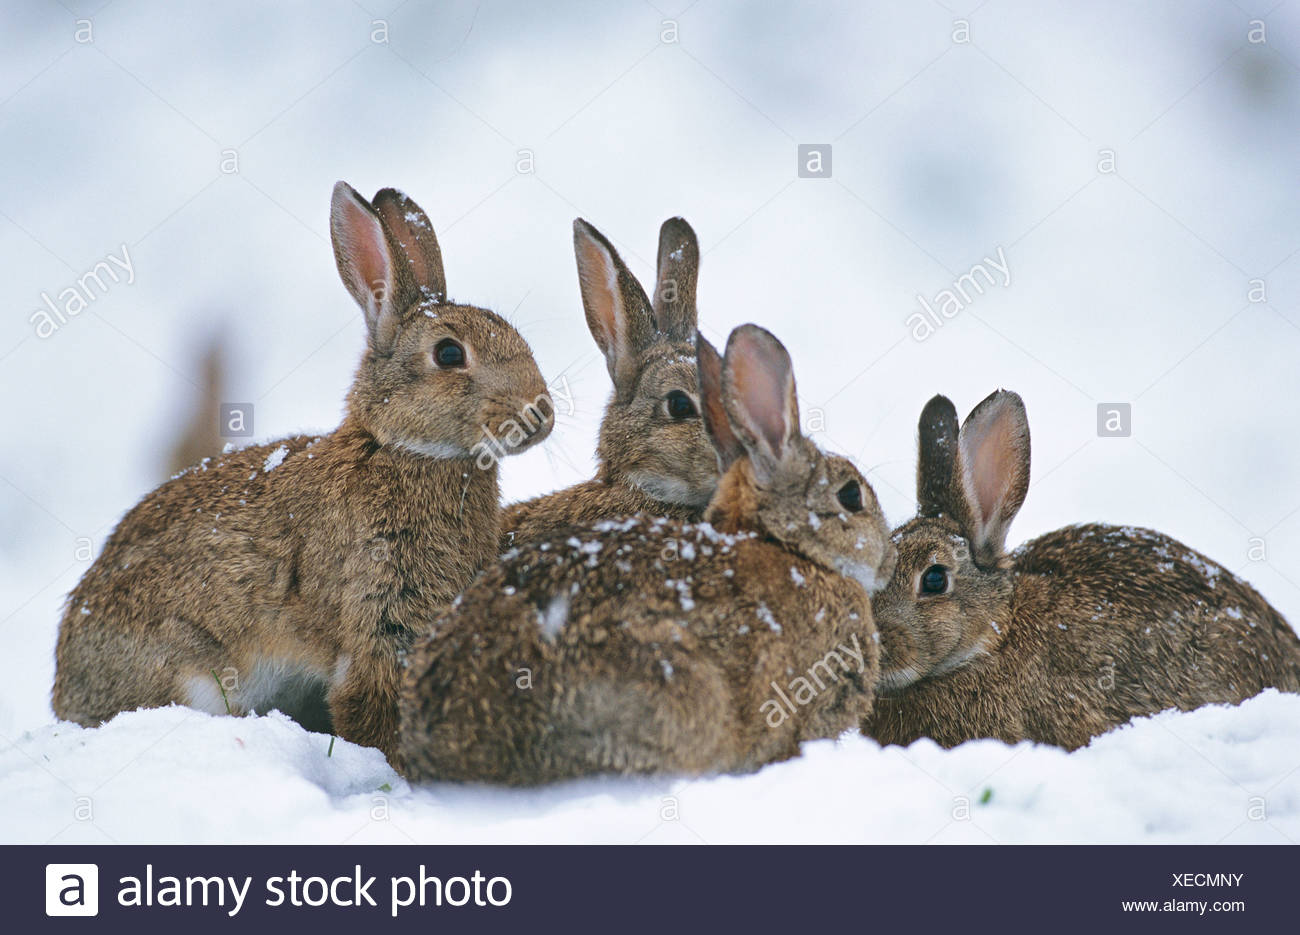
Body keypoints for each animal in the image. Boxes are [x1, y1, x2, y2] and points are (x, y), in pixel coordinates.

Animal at [52, 182, 554, 760]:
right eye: (449, 354)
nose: (541, 413)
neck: (401, 449)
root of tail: (64, 692)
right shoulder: (377, 616)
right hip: (191, 673)